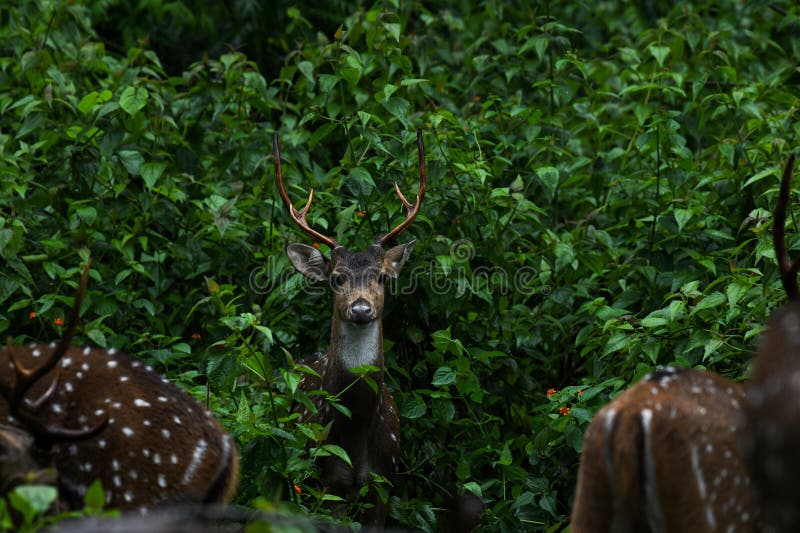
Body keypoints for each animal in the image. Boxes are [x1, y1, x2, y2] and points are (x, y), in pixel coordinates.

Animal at [273, 130, 426, 530]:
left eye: (383, 277)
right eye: (336, 278)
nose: (360, 308)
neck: (355, 437)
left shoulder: (383, 480)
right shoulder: (326, 483)